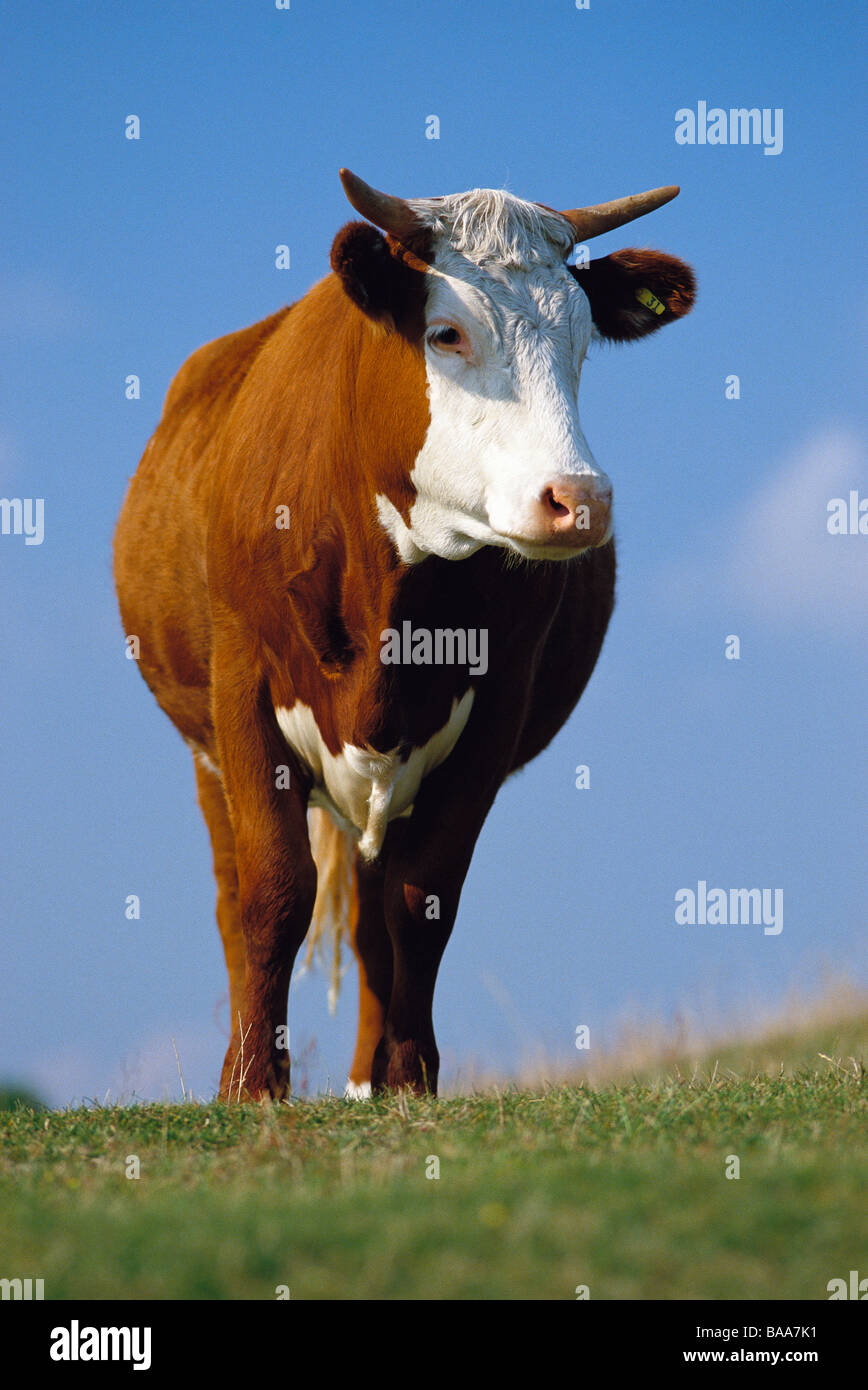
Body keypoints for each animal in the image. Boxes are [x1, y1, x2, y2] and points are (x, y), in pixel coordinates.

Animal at [114, 169, 695, 1101]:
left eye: (580, 344)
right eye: (446, 332)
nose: (578, 499)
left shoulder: (495, 710)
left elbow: (423, 900)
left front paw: (410, 1078)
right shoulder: (243, 689)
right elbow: (272, 892)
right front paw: (251, 1085)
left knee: (373, 913)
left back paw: (365, 1078)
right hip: (207, 753)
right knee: (238, 898)